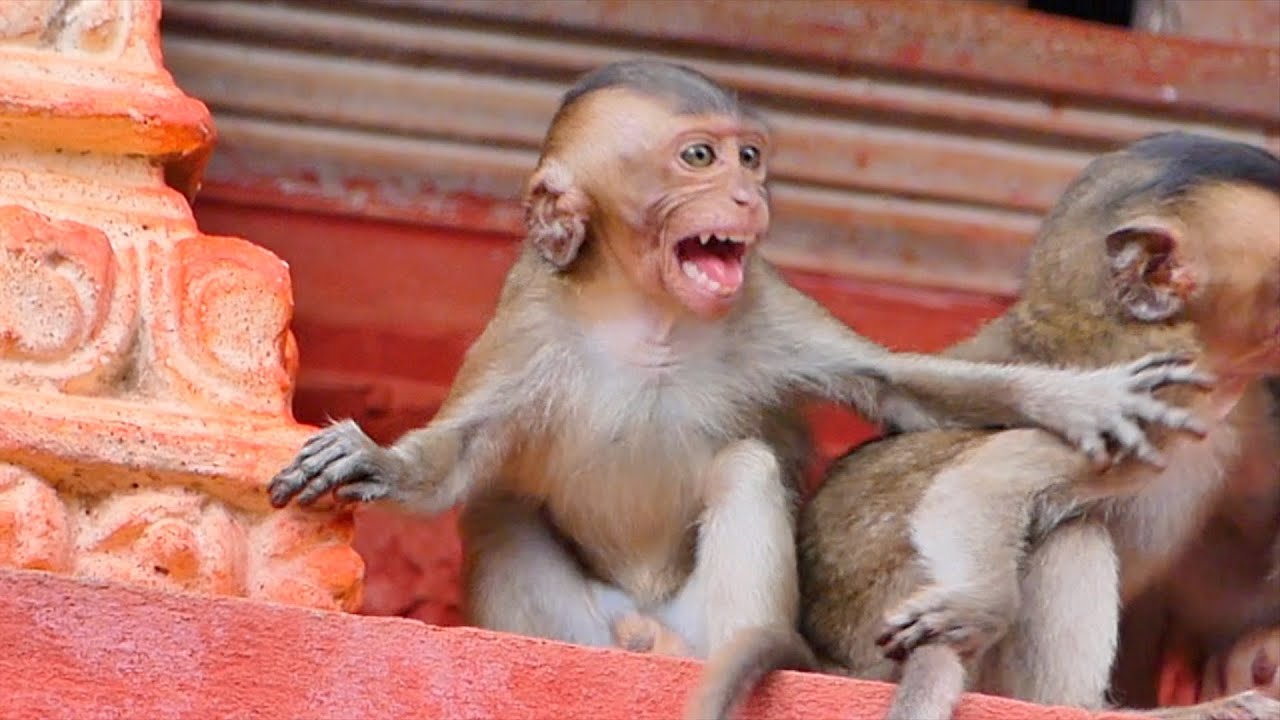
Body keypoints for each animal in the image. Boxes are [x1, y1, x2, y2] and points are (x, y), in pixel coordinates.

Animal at [268, 60, 1208, 663]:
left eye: (749, 155)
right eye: (700, 156)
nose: (749, 194)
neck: (650, 315)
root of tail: (651, 623)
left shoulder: (766, 306)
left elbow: (900, 387)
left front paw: (1079, 403)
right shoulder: (526, 324)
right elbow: (455, 463)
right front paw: (376, 461)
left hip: (698, 615)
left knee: (745, 468)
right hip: (589, 625)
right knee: (498, 506)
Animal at [685, 131, 1280, 720]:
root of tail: (835, 663)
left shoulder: (1249, 407)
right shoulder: (1163, 401)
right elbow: (980, 485)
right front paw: (981, 606)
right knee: (1068, 531)